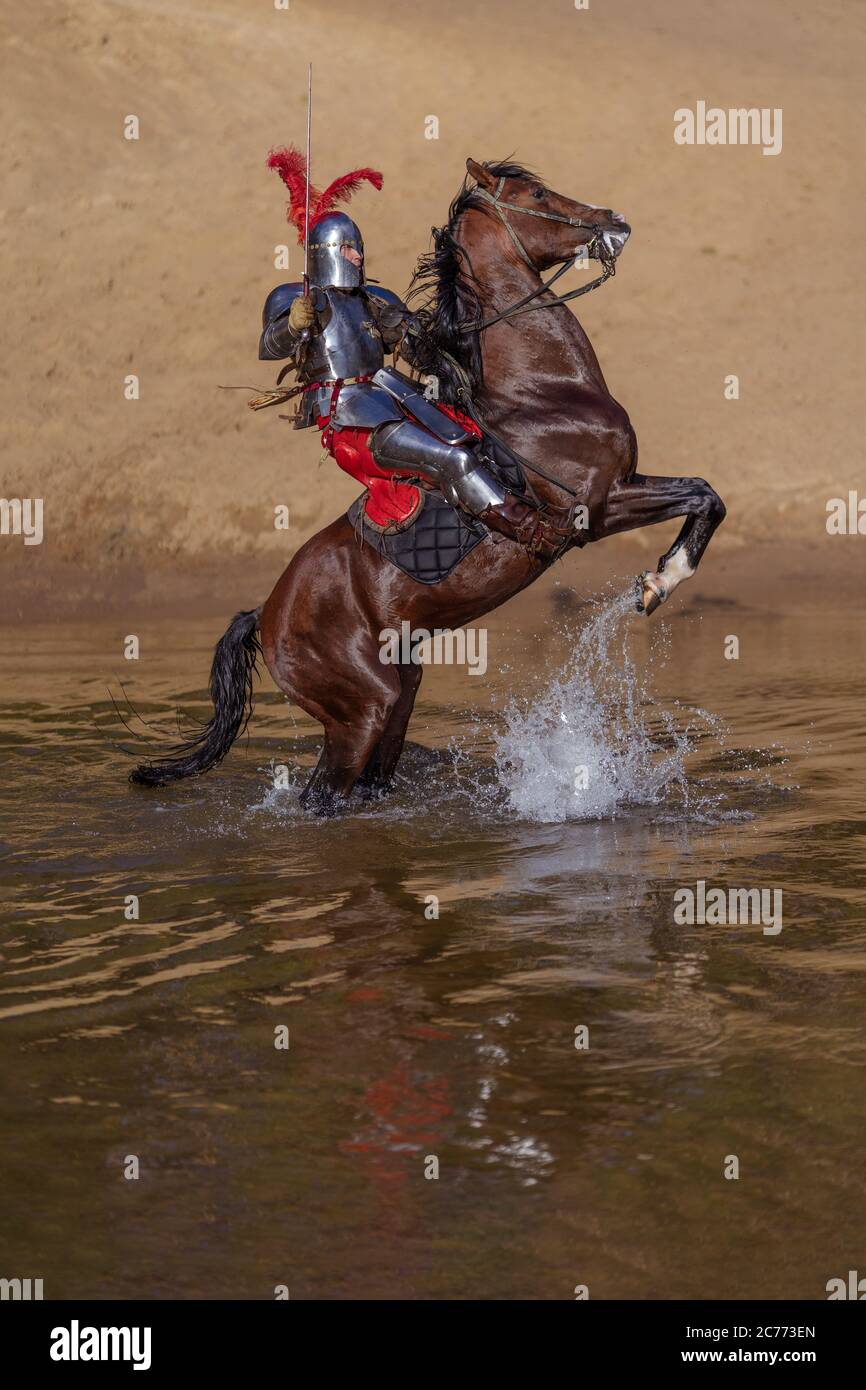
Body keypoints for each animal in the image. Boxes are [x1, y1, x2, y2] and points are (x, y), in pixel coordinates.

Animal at [131, 158, 725, 814]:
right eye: (538, 194)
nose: (613, 221)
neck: (544, 390)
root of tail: (265, 613)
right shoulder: (597, 508)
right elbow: (703, 497)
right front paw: (658, 583)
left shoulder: (627, 482)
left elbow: (705, 492)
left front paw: (660, 580)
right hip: (363, 707)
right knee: (323, 795)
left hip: (400, 688)